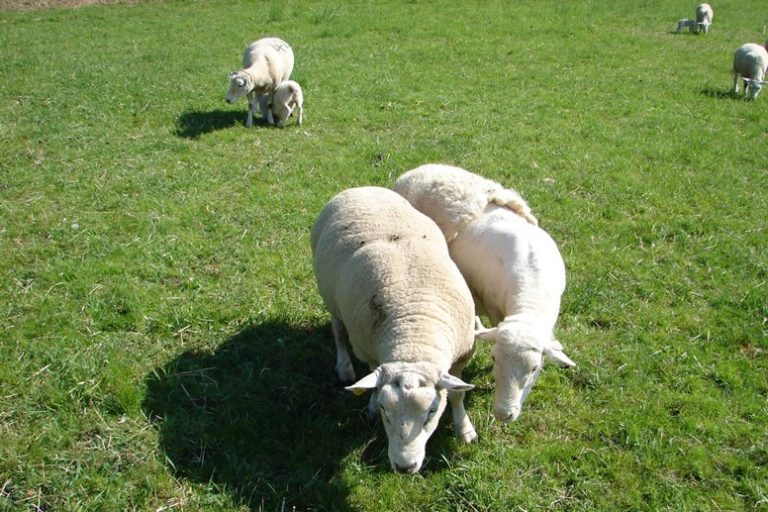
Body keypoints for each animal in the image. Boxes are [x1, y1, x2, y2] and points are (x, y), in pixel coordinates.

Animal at [310, 186, 478, 474]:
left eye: (431, 412)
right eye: (386, 410)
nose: (404, 466)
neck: (414, 333)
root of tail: (361, 188)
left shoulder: (462, 355)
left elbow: (457, 395)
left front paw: (464, 429)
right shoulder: (367, 350)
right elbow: (373, 381)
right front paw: (371, 408)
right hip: (330, 297)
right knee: (339, 330)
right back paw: (344, 367)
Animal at [394, 164, 575, 423]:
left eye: (534, 368)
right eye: (494, 359)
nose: (503, 414)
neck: (530, 299)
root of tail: (419, 169)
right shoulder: (495, 309)